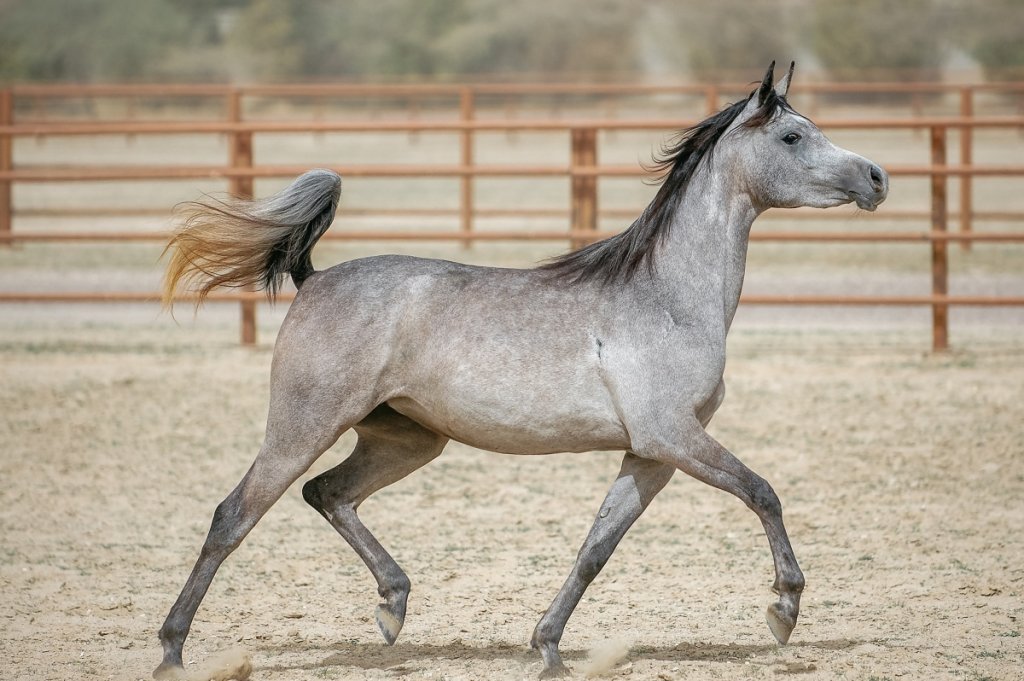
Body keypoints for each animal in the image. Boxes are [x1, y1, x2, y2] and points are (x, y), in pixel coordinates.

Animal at [154, 62, 888, 679]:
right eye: (793, 135)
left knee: (327, 493)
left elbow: (595, 549)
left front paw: (548, 647)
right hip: (304, 425)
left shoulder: (651, 453)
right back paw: (171, 649)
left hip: (406, 439)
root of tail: (315, 279)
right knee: (234, 515)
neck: (666, 297)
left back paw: (393, 606)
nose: (877, 178)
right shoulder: (674, 435)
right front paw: (783, 609)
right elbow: (763, 491)